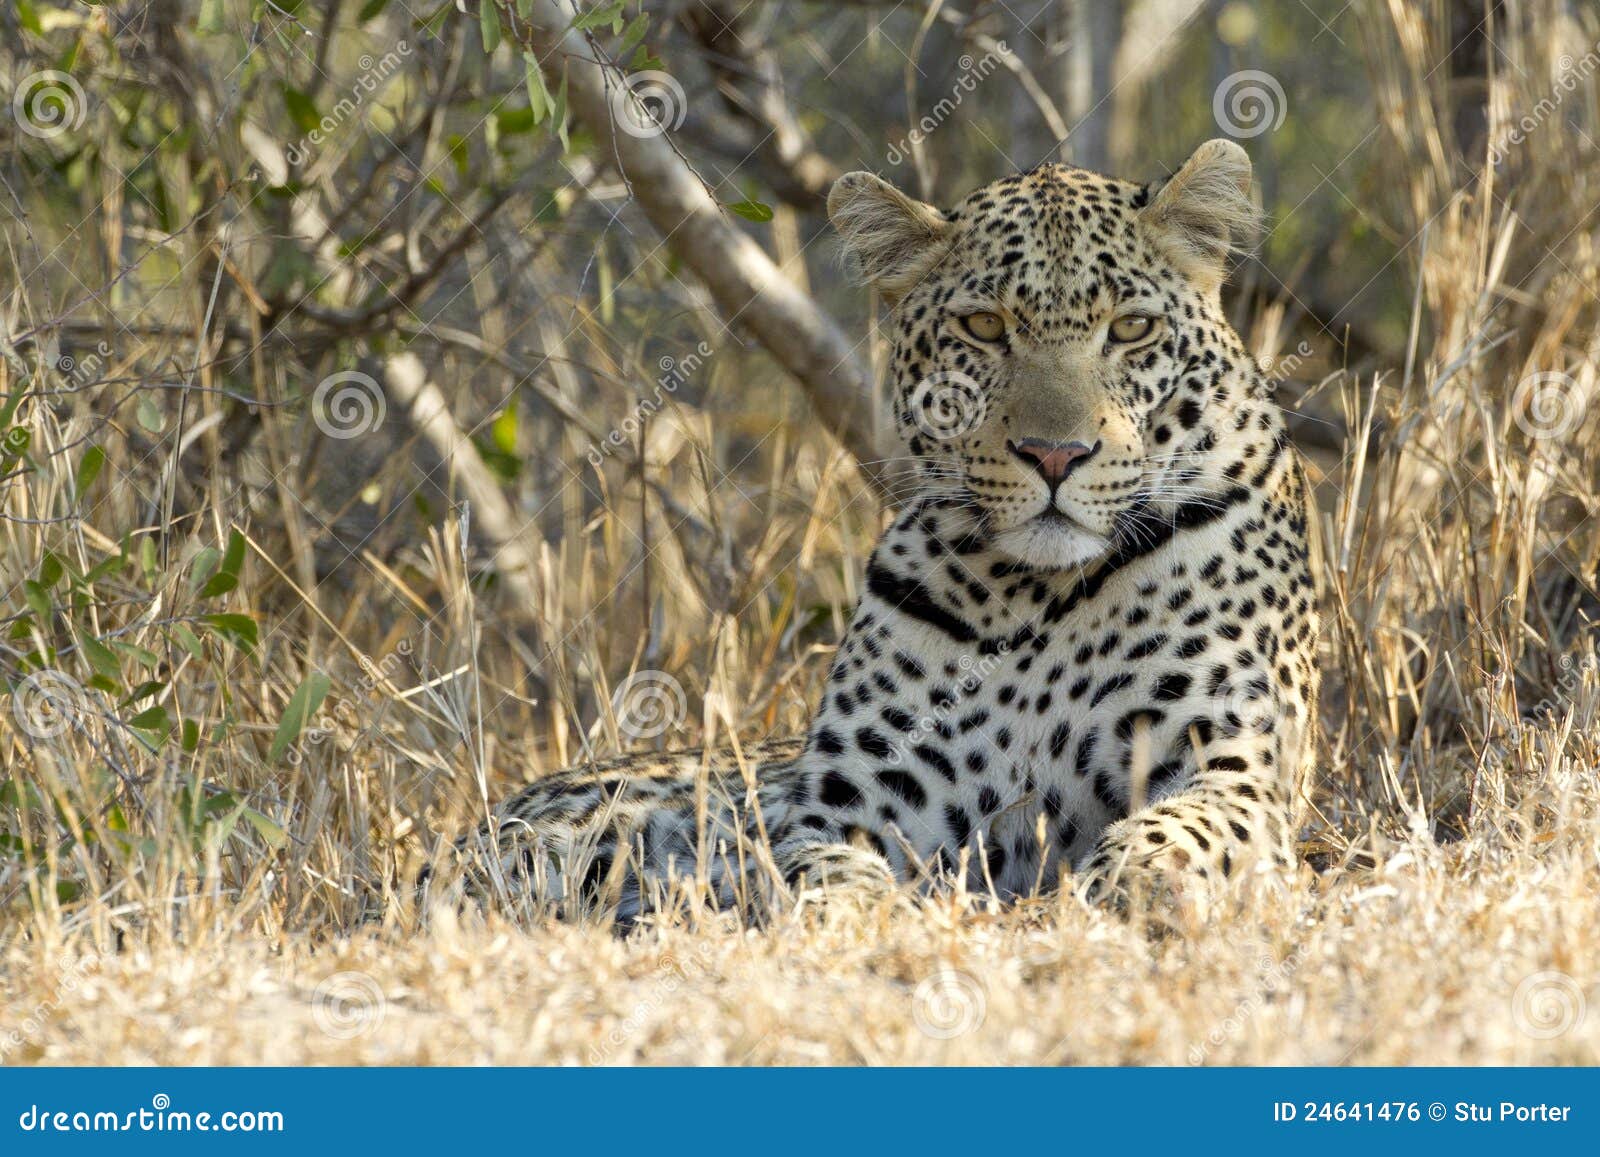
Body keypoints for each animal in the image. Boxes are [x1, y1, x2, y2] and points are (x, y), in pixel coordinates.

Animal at [439, 139, 1322, 923]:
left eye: (1132, 328)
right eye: (983, 326)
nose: (1055, 454)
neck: (1040, 594)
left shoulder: (1234, 756)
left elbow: (1184, 831)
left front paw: (1135, 887)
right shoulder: (860, 802)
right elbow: (815, 862)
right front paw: (850, 914)